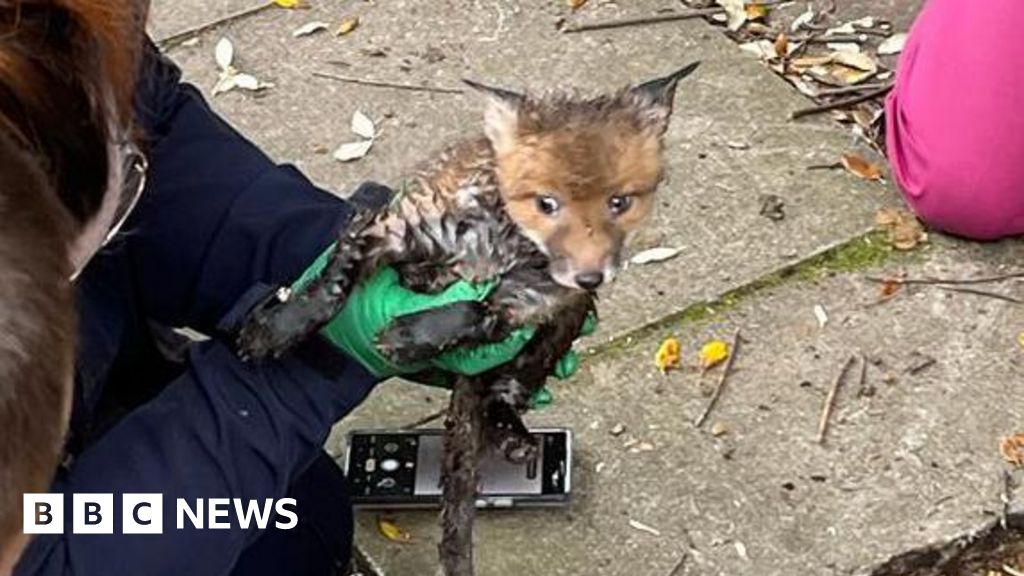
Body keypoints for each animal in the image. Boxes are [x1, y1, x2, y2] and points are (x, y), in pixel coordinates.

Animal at [236, 61, 700, 576]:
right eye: (546, 203)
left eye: (620, 202)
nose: (590, 277)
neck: (501, 240)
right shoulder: (393, 229)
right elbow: (336, 284)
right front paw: (276, 329)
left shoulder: (536, 298)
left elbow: (477, 311)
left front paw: (411, 334)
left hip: (547, 342)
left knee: (503, 395)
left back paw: (513, 435)